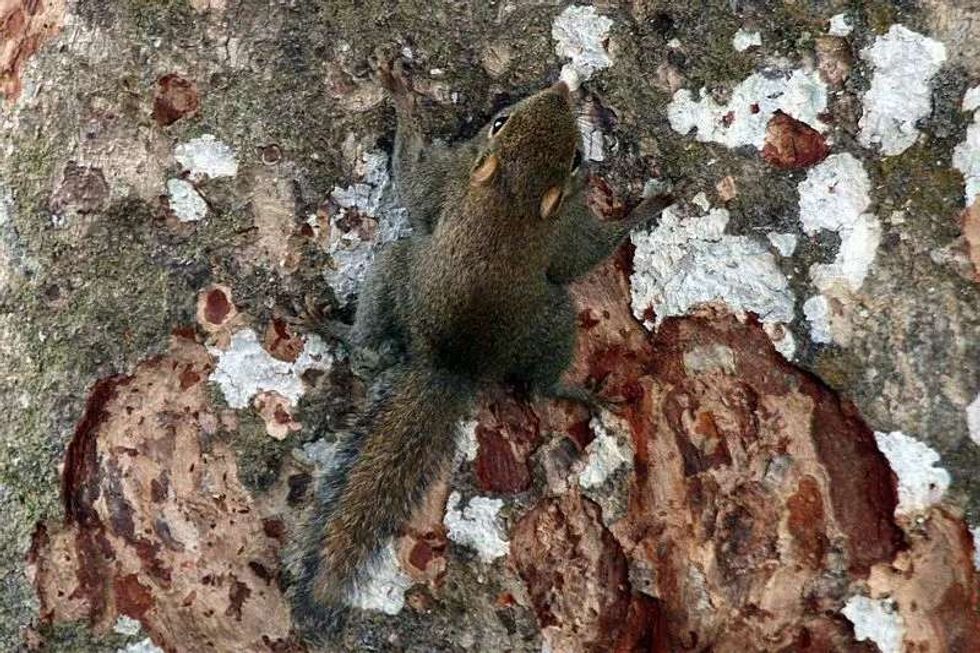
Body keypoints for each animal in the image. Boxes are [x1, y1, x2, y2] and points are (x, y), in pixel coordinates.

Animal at [285, 57, 674, 644]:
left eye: (575, 156)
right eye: (501, 121)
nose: (561, 90)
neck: (513, 192)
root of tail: (453, 364)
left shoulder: (500, 205)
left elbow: (416, 182)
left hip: (443, 281)